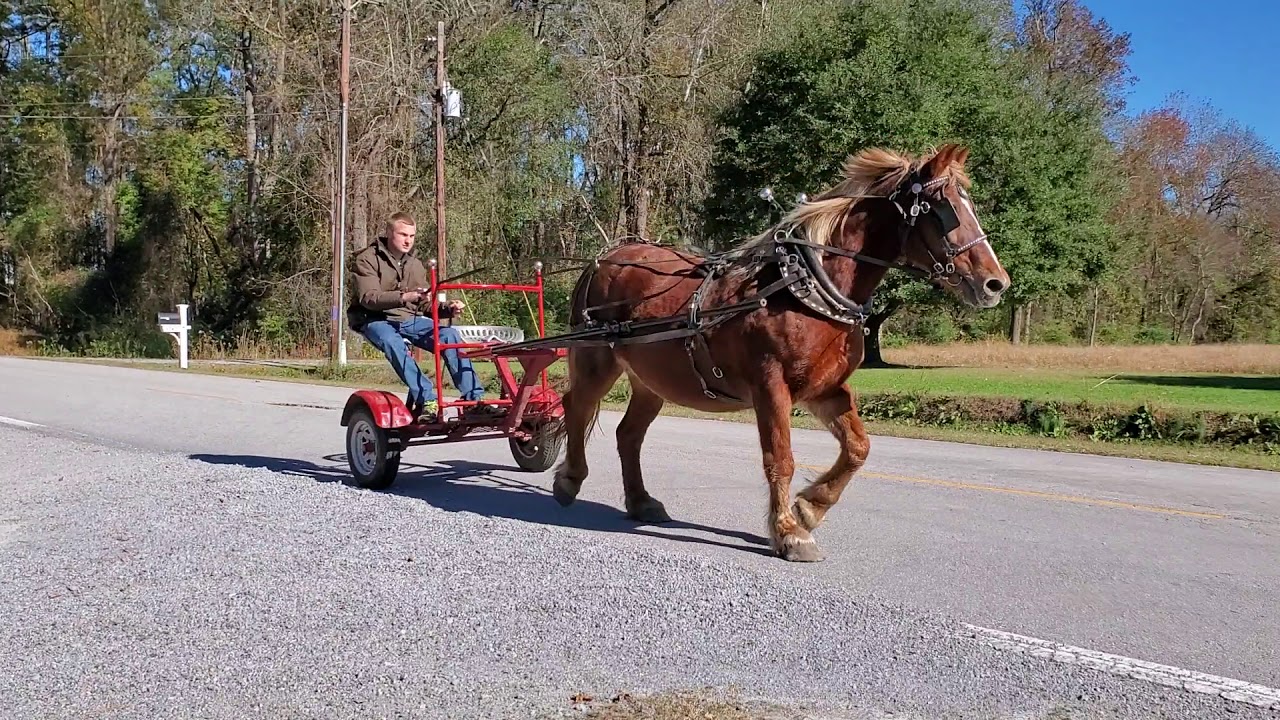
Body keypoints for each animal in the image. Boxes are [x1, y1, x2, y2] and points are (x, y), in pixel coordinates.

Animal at [548, 143, 1010, 562]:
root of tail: (605, 257)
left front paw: (809, 508)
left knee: (629, 434)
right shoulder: (771, 387)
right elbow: (780, 458)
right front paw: (789, 532)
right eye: (942, 210)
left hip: (652, 378)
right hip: (596, 359)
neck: (806, 287)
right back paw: (569, 480)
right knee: (576, 406)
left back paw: (642, 501)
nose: (996, 283)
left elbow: (858, 448)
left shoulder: (826, 390)